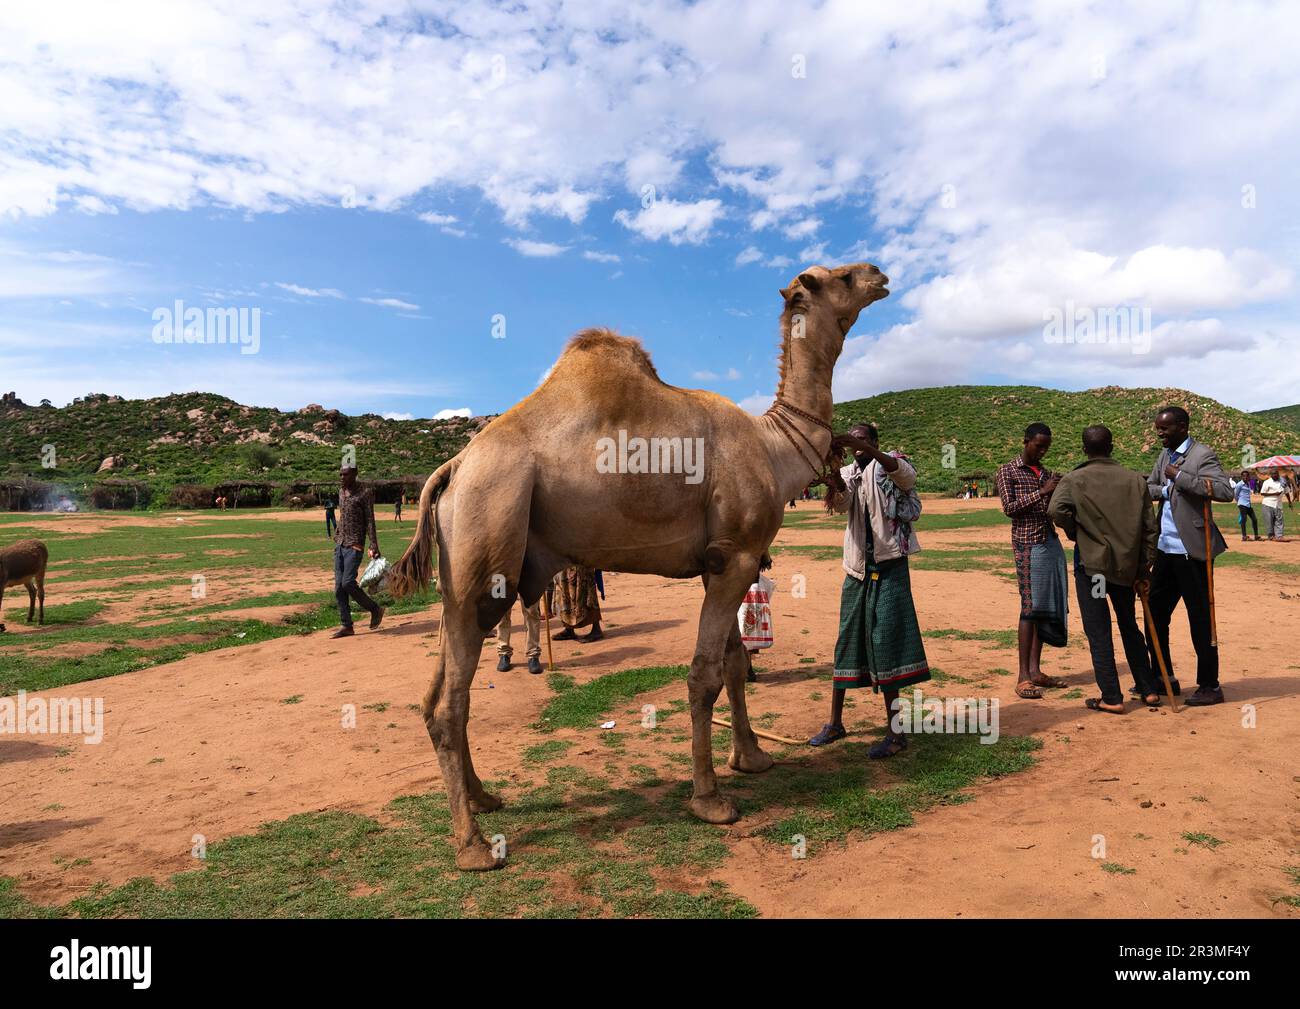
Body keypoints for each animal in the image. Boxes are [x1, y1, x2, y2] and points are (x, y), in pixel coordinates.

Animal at [389, 261, 889, 870]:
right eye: (839, 277)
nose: (879, 274)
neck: (773, 449)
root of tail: (453, 468)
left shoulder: (723, 561)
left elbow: (732, 665)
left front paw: (751, 758)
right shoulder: (735, 557)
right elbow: (704, 676)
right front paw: (711, 800)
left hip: (455, 573)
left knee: (434, 694)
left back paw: (485, 798)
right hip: (487, 539)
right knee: (448, 702)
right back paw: (474, 847)